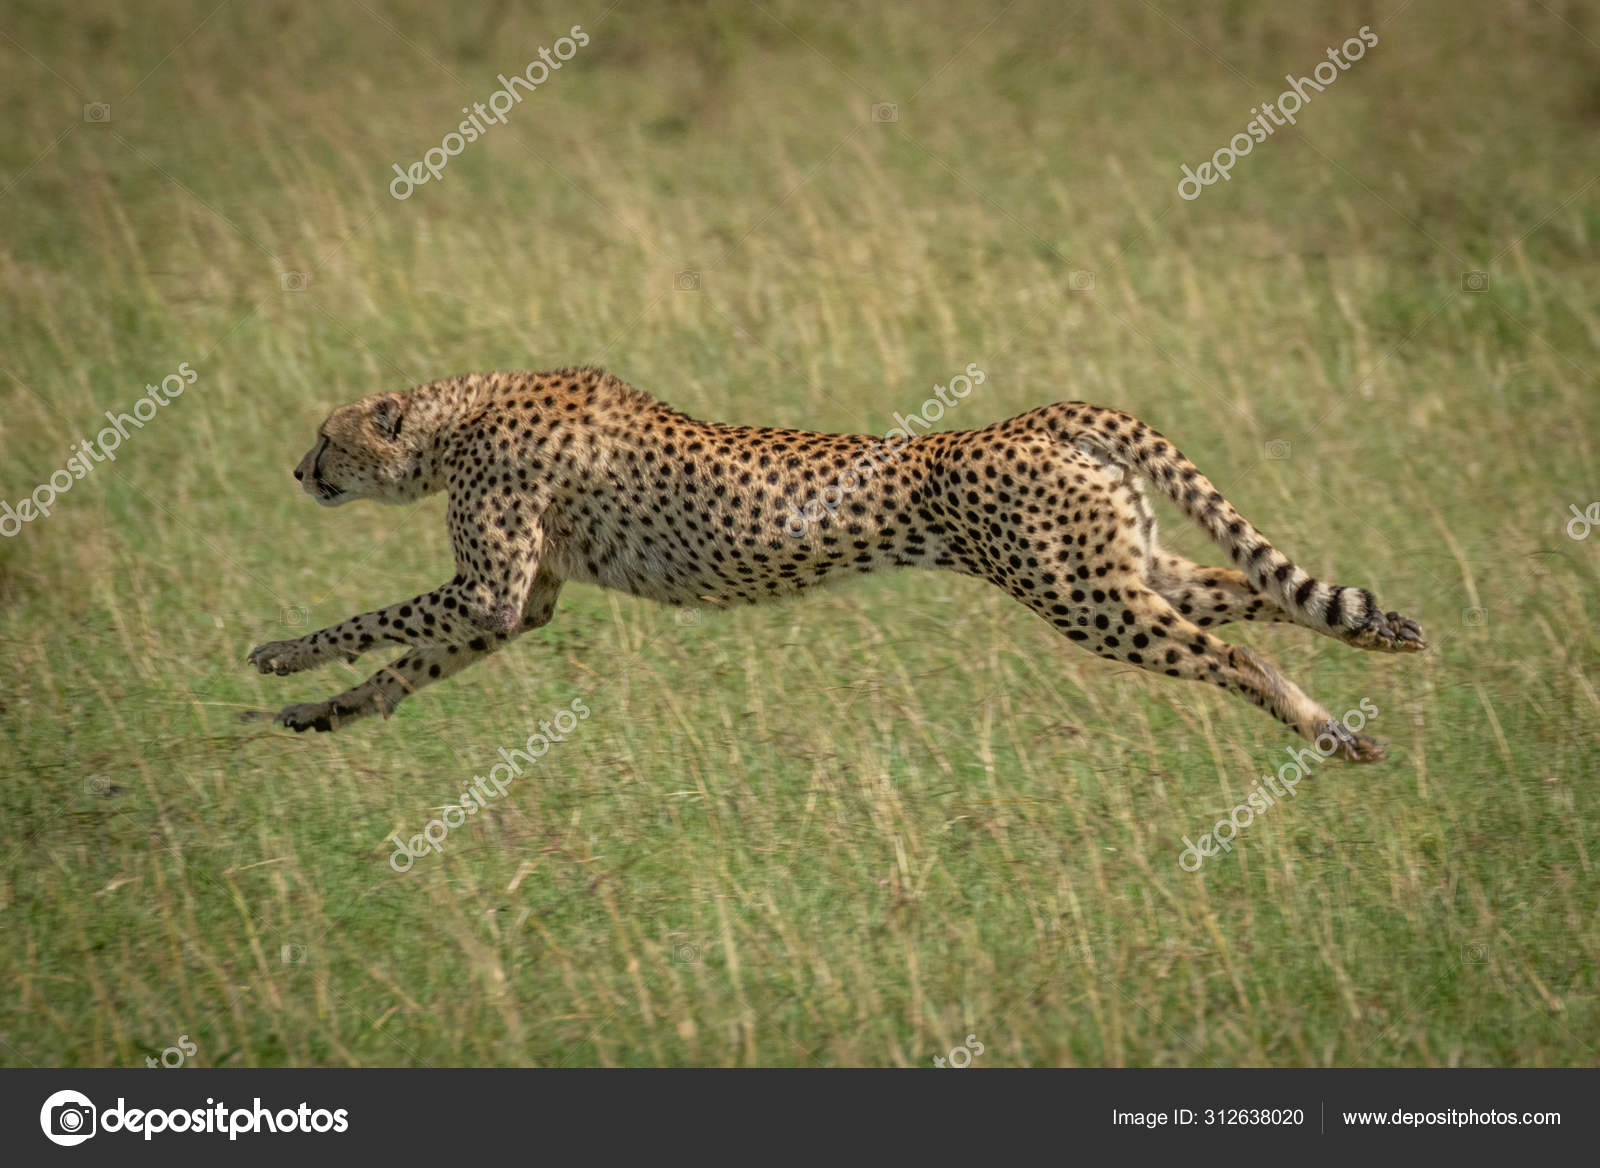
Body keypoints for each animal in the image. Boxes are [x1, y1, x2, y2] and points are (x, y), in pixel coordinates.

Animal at [247, 367, 1424, 760]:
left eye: (326, 436)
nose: (297, 470)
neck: (456, 416)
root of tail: (1039, 415)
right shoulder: (518, 606)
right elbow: (409, 662)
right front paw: (322, 713)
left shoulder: (492, 588)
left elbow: (378, 621)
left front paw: (280, 656)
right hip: (1117, 568)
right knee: (1249, 592)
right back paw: (1379, 642)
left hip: (1083, 596)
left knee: (1231, 653)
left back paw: (1330, 736)